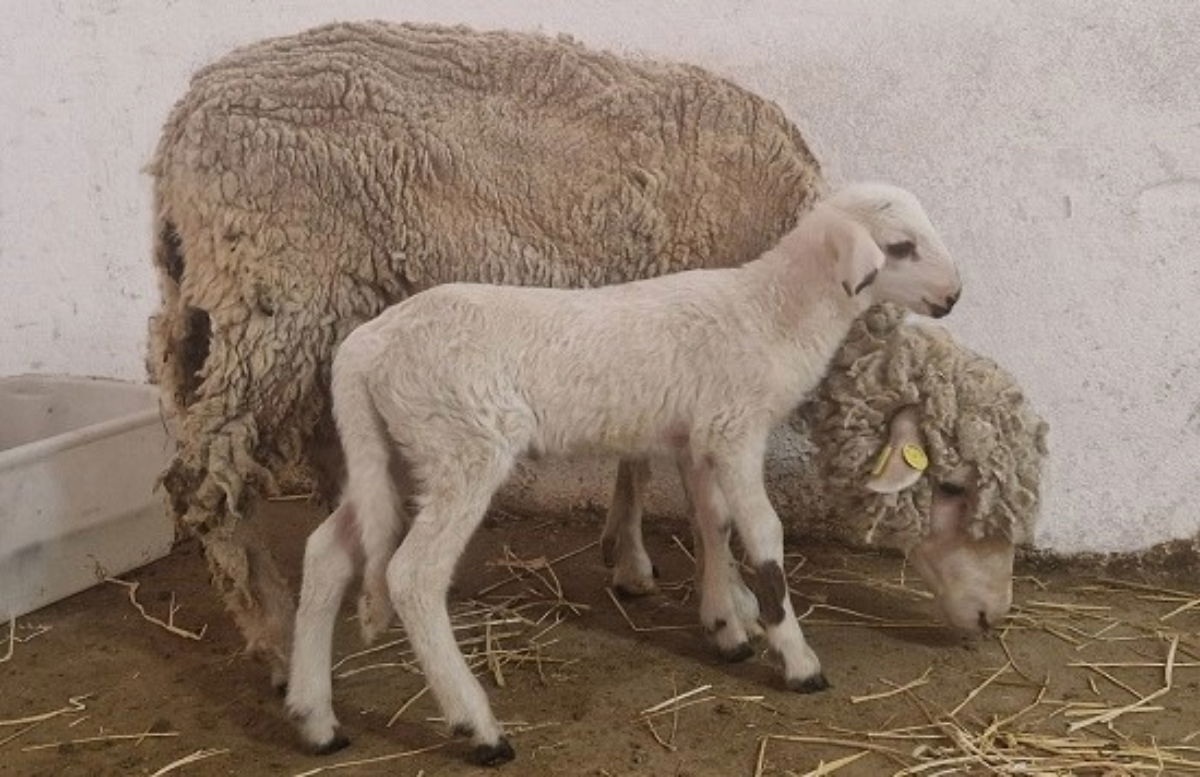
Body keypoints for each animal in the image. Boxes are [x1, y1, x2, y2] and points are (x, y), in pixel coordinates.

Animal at [146, 19, 825, 688]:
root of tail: (183, 120)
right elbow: (706, 499)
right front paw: (732, 606)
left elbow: (639, 461)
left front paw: (632, 560)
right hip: (279, 298)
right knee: (206, 477)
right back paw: (276, 638)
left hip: (246, 312)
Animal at [285, 182, 963, 764]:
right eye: (900, 246)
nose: (954, 297)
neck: (771, 312)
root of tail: (365, 347)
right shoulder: (735, 428)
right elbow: (764, 536)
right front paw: (795, 657)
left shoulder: (697, 436)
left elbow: (712, 524)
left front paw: (726, 623)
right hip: (462, 443)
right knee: (412, 574)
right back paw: (477, 727)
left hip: (395, 452)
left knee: (325, 553)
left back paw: (315, 719)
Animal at [600, 303, 1049, 639]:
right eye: (953, 487)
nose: (994, 615)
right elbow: (707, 507)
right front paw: (734, 600)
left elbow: (638, 461)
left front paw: (627, 557)